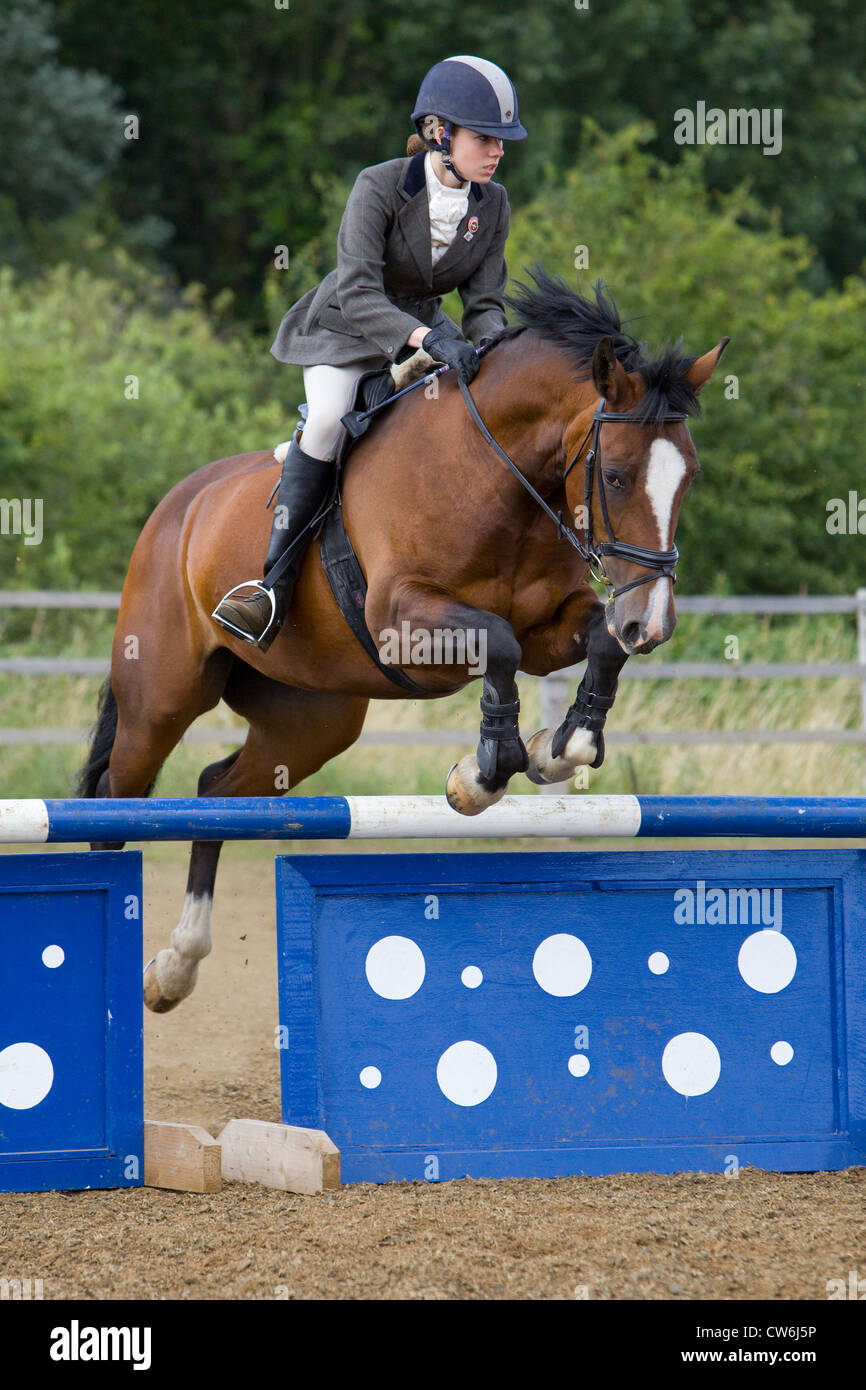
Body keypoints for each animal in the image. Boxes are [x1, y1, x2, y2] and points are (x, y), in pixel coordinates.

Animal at [77, 270, 728, 1012]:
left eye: (689, 476)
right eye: (615, 475)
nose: (652, 623)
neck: (496, 474)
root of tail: (177, 506)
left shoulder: (549, 628)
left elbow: (595, 646)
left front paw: (561, 747)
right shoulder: (404, 624)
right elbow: (499, 645)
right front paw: (482, 773)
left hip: (311, 720)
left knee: (217, 795)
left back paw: (176, 966)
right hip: (160, 699)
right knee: (115, 798)